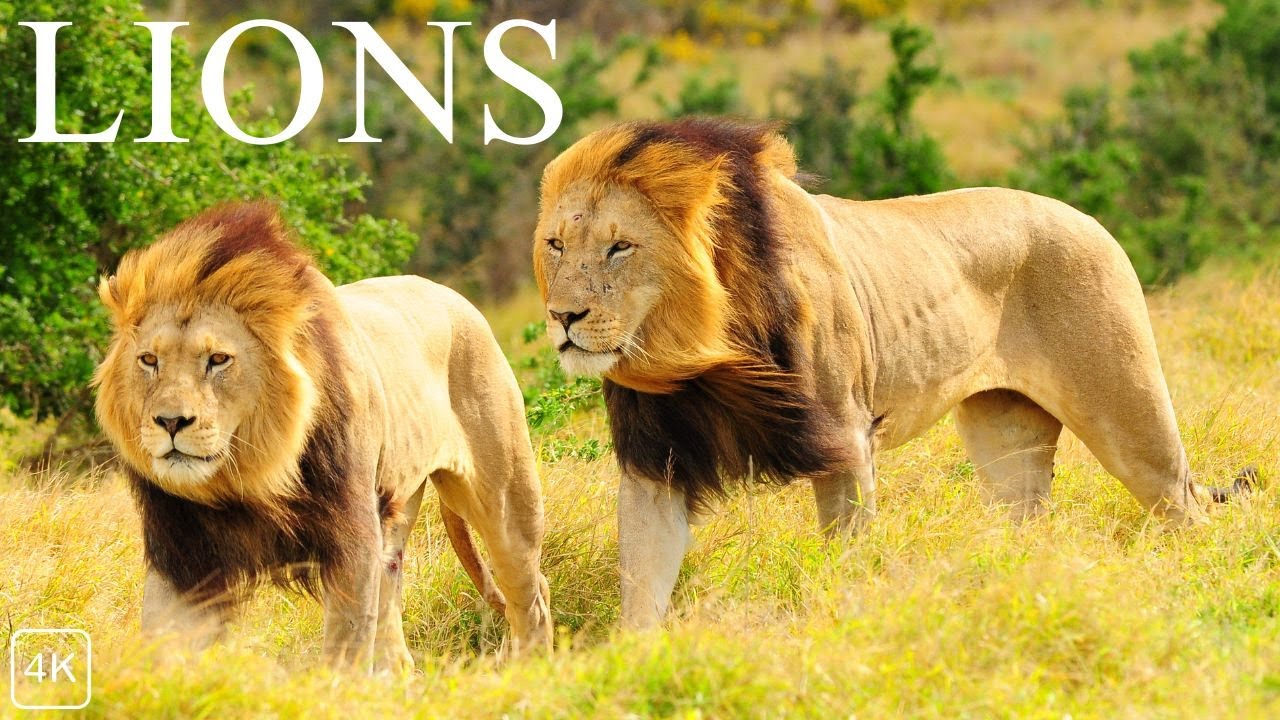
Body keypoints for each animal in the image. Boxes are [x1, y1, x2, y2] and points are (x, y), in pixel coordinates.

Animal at [94, 202, 551, 669]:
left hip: (506, 500)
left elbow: (344, 647)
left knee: (533, 594)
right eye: (149, 360)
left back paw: (530, 668)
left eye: (218, 359)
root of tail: (456, 297)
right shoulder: (182, 555)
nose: (170, 422)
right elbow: (164, 646)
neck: (251, 478)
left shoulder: (353, 537)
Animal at [533, 118, 1254, 629]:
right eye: (556, 244)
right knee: (1029, 525)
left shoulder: (846, 439)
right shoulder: (655, 460)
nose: (563, 316)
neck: (701, 352)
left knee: (1184, 505)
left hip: (1128, 410)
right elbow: (642, 585)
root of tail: (1088, 218)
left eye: (621, 247)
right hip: (1006, 435)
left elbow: (847, 560)